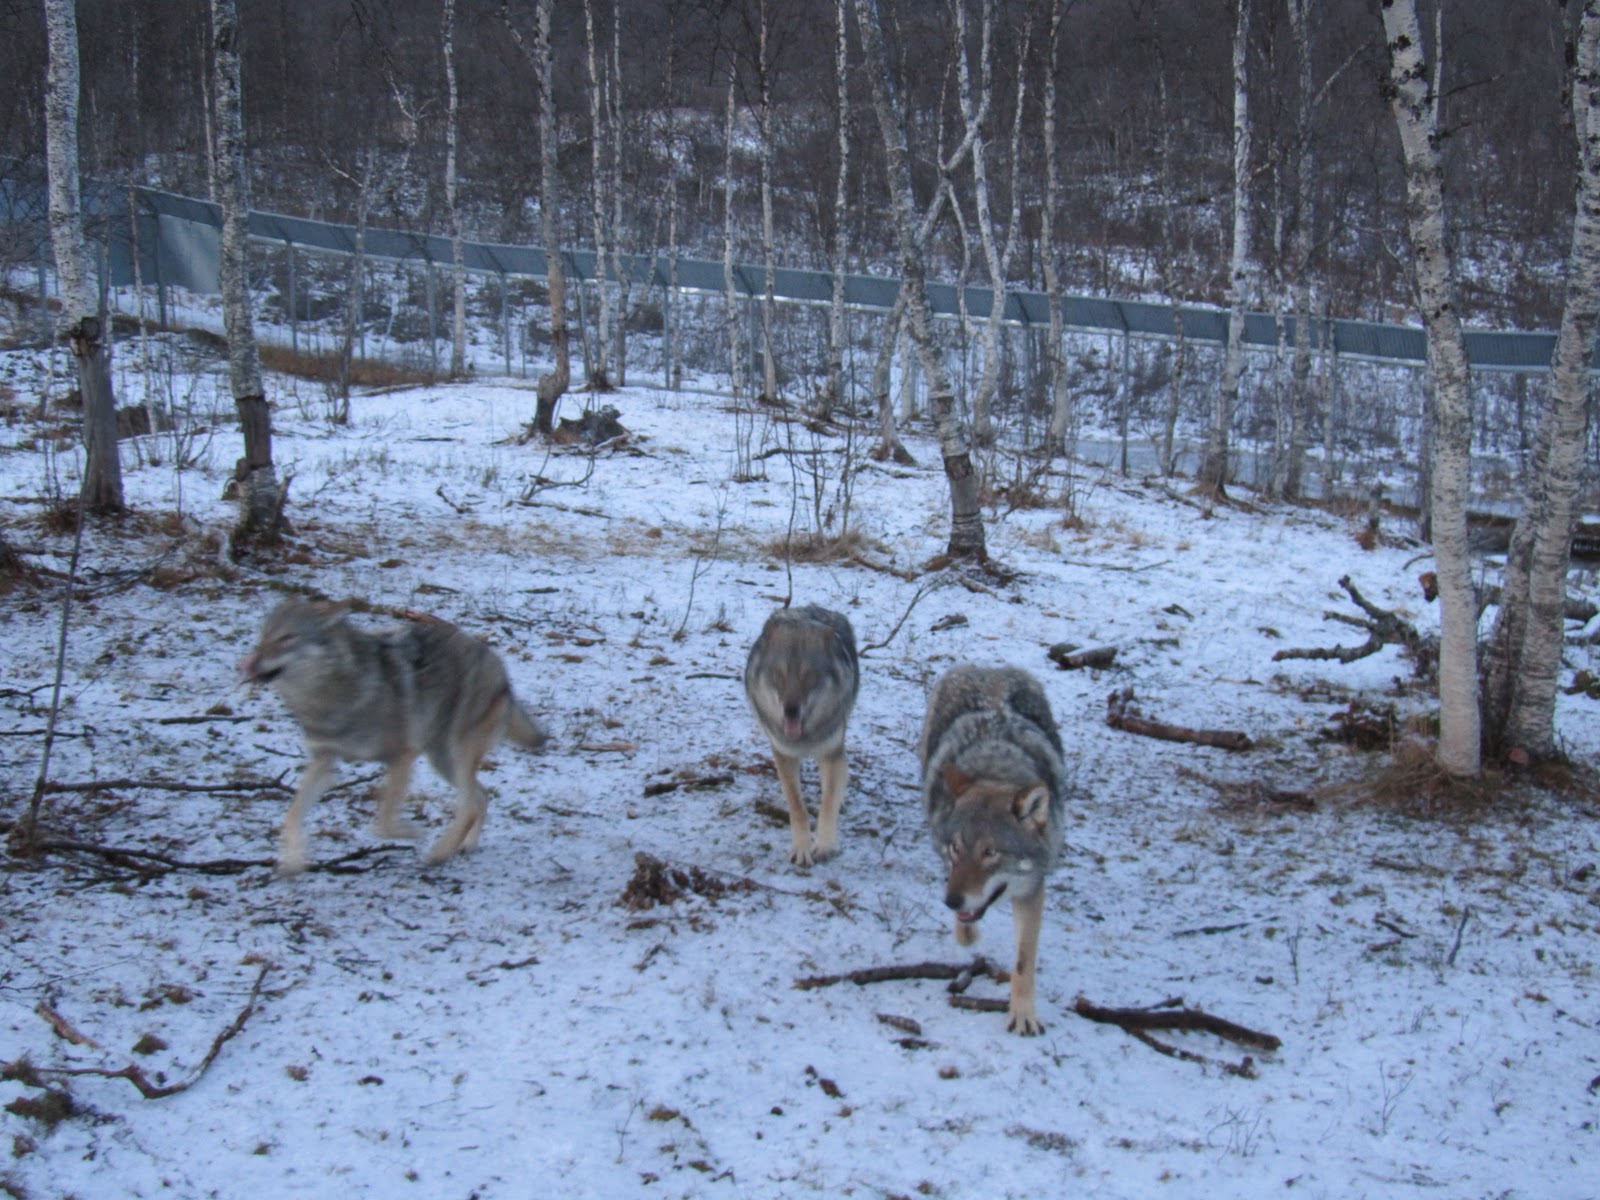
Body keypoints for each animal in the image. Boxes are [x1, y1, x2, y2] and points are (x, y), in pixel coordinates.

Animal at [240, 598, 548, 876]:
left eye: (288, 637)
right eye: (263, 636)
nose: (247, 663)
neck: (333, 694)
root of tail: (498, 665)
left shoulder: (402, 756)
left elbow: (384, 822)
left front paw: (413, 832)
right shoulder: (324, 762)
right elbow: (291, 816)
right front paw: (292, 863)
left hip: (452, 754)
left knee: (470, 804)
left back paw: (438, 854)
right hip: (441, 759)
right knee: (480, 798)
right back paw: (464, 846)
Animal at [744, 604, 860, 868]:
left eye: (809, 676)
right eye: (779, 675)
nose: (791, 710)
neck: (803, 738)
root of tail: (811, 607)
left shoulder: (831, 753)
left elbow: (827, 803)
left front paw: (825, 845)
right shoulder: (784, 754)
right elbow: (797, 807)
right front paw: (802, 848)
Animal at [920, 664, 1067, 1035]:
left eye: (991, 853)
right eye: (956, 847)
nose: (951, 901)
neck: (995, 766)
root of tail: (989, 669)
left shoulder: (1031, 889)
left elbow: (1024, 962)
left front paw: (1023, 1015)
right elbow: (965, 927)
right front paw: (967, 933)